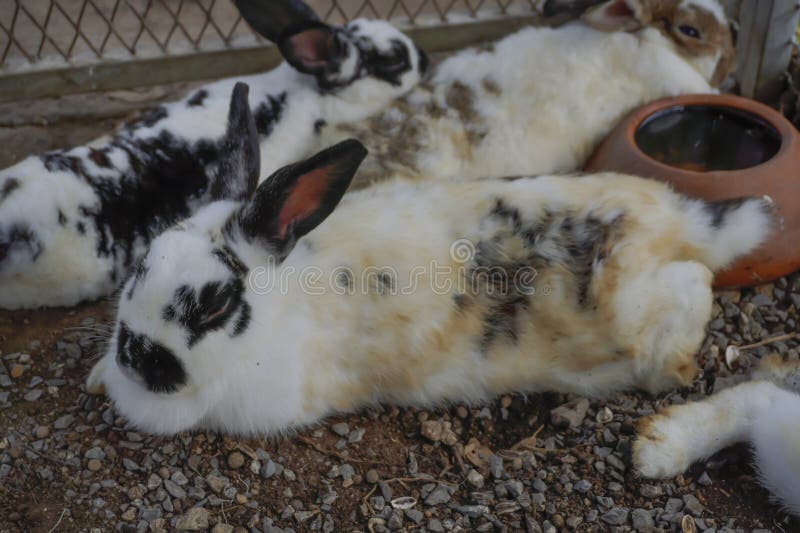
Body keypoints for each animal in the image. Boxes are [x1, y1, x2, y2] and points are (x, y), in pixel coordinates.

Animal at [84, 127, 775, 435]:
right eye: (142, 265)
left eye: (215, 303)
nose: (135, 356)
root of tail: (681, 219)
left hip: (640, 312)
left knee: (694, 283)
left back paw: (678, 364)